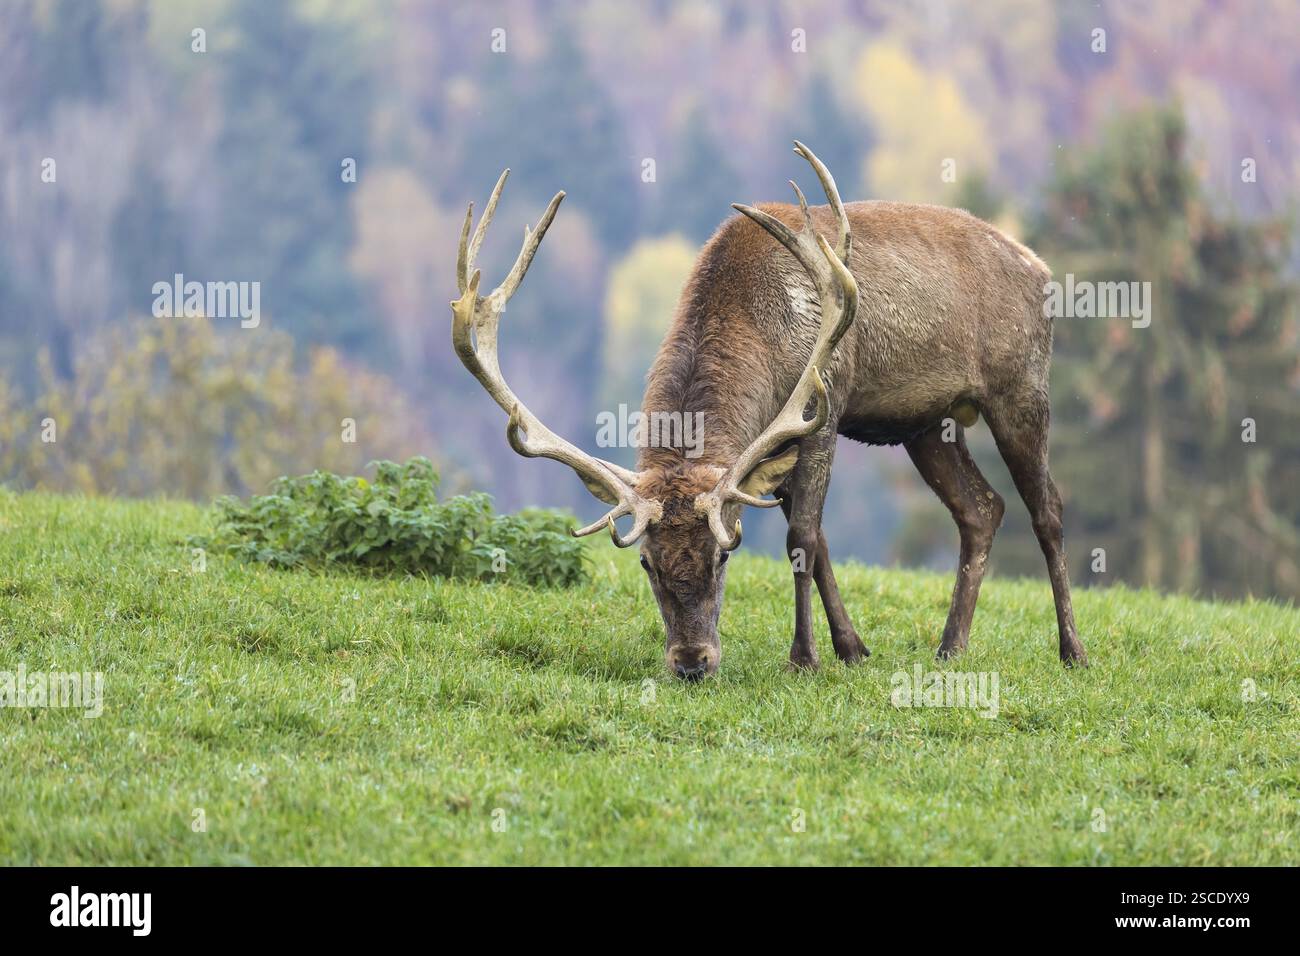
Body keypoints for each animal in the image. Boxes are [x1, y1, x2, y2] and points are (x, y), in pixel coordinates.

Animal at [450, 142, 1088, 680]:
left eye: (722, 557)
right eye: (648, 565)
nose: (691, 662)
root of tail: (1038, 266)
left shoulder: (823, 407)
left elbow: (802, 535)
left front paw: (804, 657)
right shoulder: (771, 447)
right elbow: (819, 540)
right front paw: (851, 649)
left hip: (1022, 386)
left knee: (1048, 509)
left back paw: (1072, 650)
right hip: (927, 423)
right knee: (981, 509)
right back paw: (950, 647)